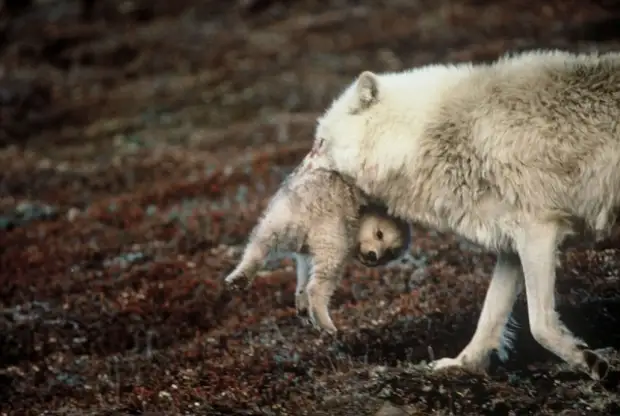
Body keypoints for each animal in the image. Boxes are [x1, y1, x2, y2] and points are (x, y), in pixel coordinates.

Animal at [308, 49, 620, 380]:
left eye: (320, 143)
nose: (296, 175)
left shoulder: (539, 231)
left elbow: (540, 324)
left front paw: (590, 361)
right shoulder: (512, 244)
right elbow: (490, 315)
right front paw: (462, 364)